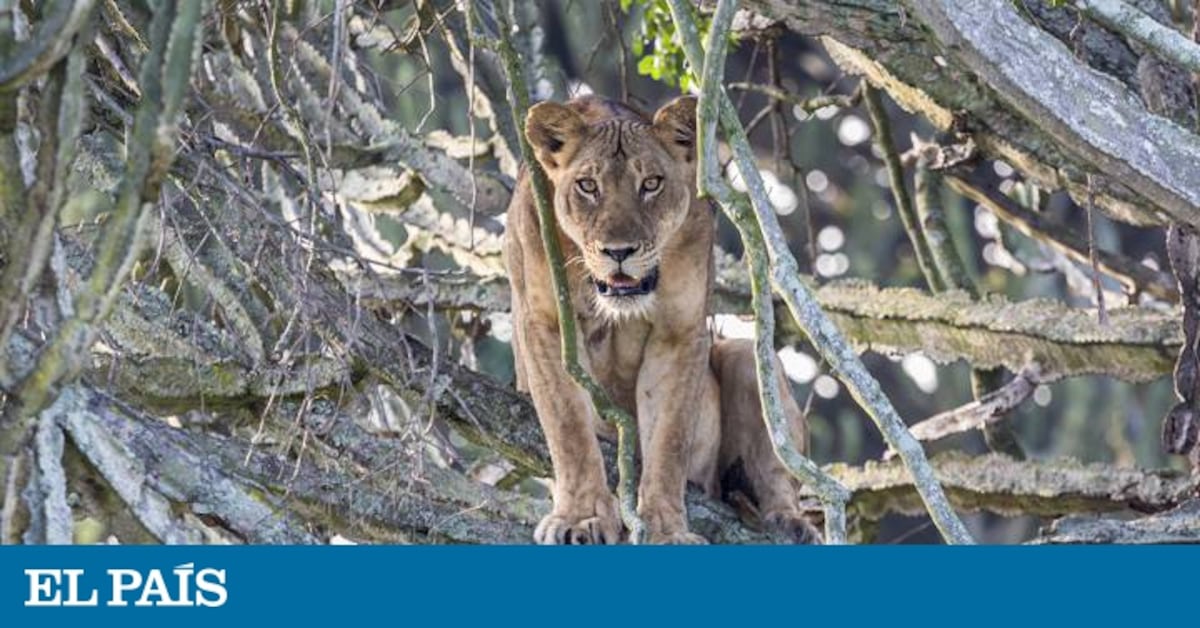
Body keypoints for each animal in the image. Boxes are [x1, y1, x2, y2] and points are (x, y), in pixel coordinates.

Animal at [504, 95, 817, 544]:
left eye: (651, 183)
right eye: (588, 186)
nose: (619, 251)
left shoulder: (679, 334)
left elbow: (668, 440)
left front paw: (666, 529)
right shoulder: (545, 322)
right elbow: (568, 428)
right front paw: (579, 518)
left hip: (746, 358)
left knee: (777, 471)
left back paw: (789, 522)